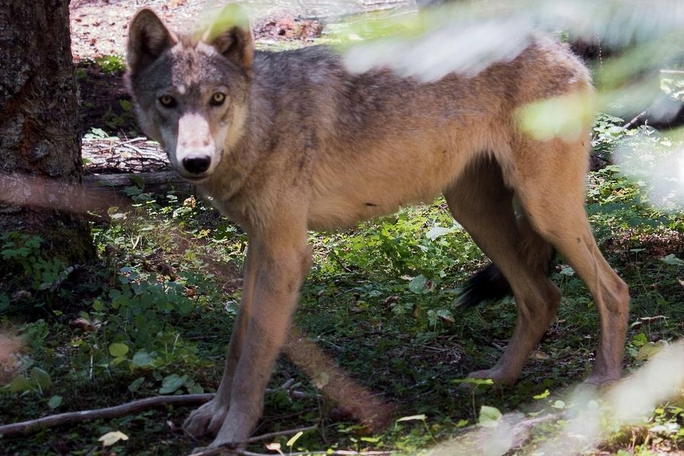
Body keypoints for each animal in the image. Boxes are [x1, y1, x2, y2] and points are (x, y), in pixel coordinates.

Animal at [125, 6, 630, 449]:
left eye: (218, 99)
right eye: (168, 102)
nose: (195, 161)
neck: (263, 121)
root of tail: (564, 50)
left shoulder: (286, 255)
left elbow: (254, 360)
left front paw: (229, 439)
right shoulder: (260, 246)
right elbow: (236, 344)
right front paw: (214, 414)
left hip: (544, 211)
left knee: (613, 289)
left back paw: (604, 384)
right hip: (475, 214)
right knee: (542, 296)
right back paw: (496, 380)